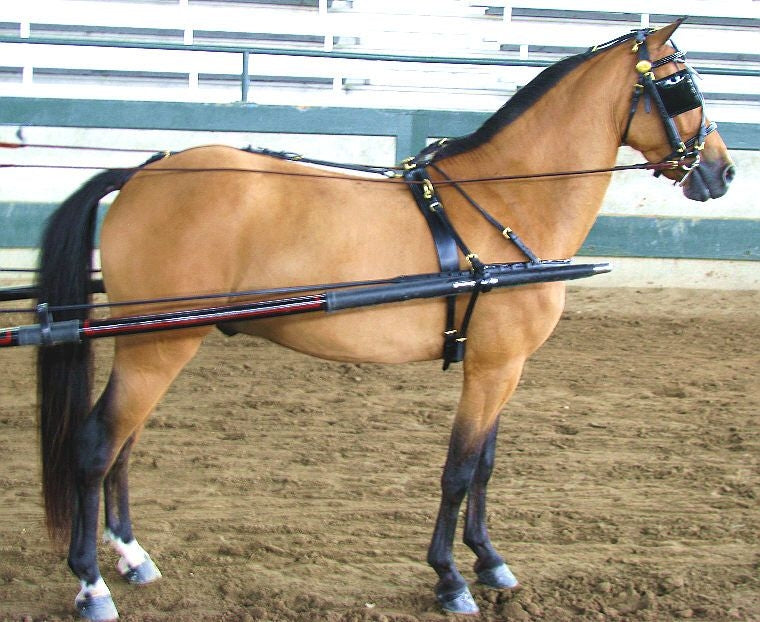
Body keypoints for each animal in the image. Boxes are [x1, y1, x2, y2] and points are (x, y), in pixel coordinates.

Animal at [35, 20, 734, 620]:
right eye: (682, 84)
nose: (722, 172)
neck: (506, 200)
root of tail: (142, 170)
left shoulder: (503, 365)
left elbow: (485, 465)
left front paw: (490, 562)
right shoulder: (492, 368)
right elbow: (458, 469)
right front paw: (450, 579)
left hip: (152, 341)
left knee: (123, 444)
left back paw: (131, 556)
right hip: (158, 345)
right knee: (97, 445)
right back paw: (92, 583)